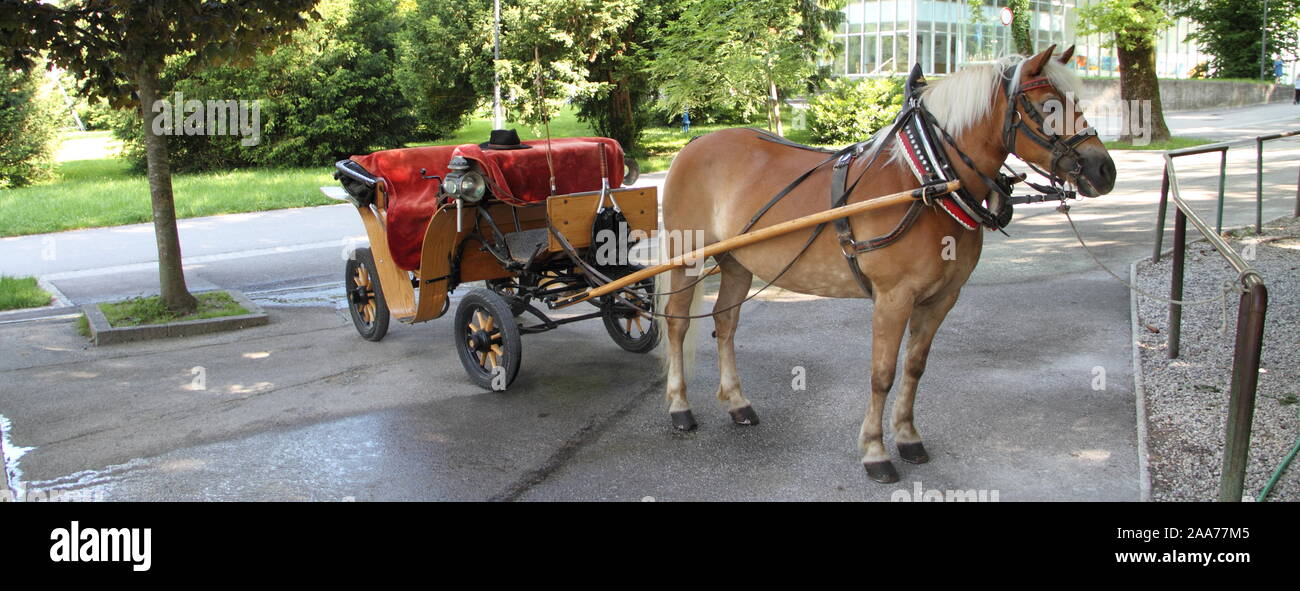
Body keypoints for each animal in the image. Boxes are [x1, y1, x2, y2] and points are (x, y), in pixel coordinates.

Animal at [657, 45, 1117, 483]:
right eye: (1050, 105)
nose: (1104, 169)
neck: (926, 180)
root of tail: (694, 145)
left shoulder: (942, 298)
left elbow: (914, 368)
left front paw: (908, 437)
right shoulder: (893, 298)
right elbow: (882, 374)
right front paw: (875, 452)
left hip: (736, 262)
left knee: (725, 322)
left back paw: (737, 401)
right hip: (688, 258)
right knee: (677, 323)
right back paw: (679, 406)